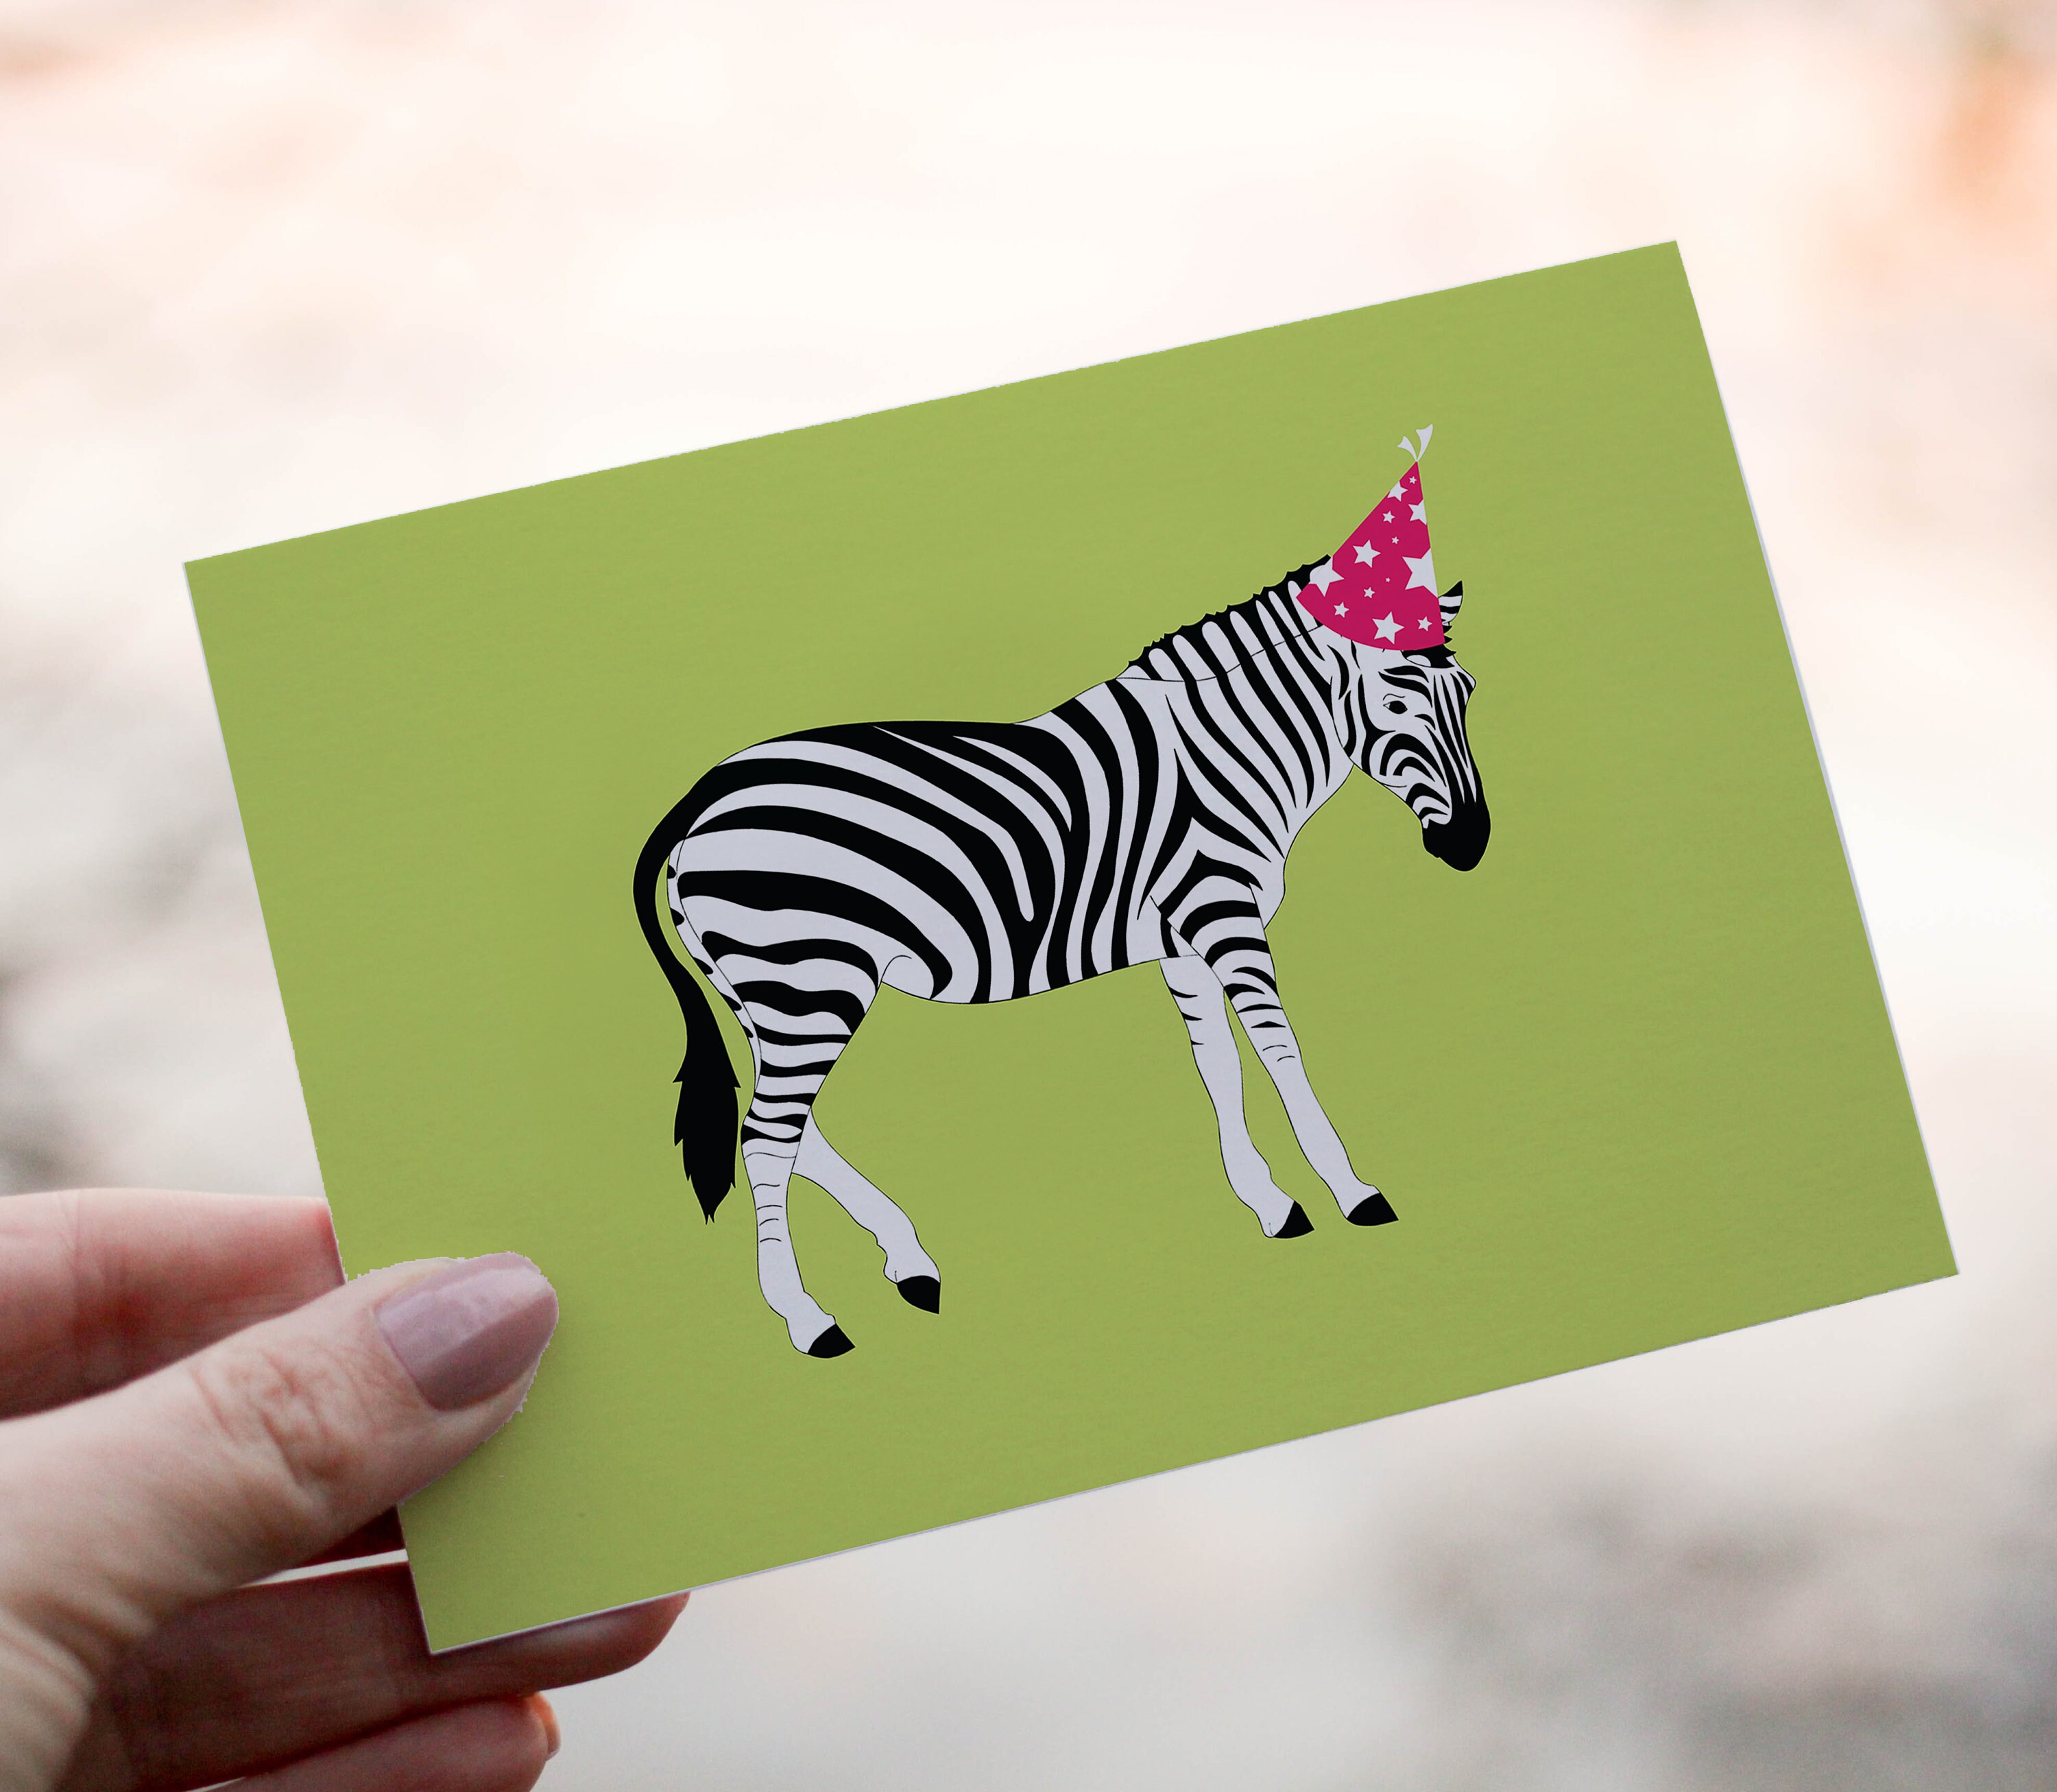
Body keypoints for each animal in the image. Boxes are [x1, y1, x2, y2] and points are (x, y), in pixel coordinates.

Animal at [633, 563, 1488, 1356]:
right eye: (1399, 702)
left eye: (1470, 694)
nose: (1472, 845)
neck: (1225, 753)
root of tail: (703, 795)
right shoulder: (1221, 910)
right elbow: (1280, 1052)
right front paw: (1352, 1190)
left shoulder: (1186, 937)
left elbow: (1216, 1062)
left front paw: (1271, 1203)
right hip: (808, 978)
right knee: (766, 1137)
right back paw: (809, 1320)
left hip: (765, 990)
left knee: (789, 1127)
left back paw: (909, 1262)